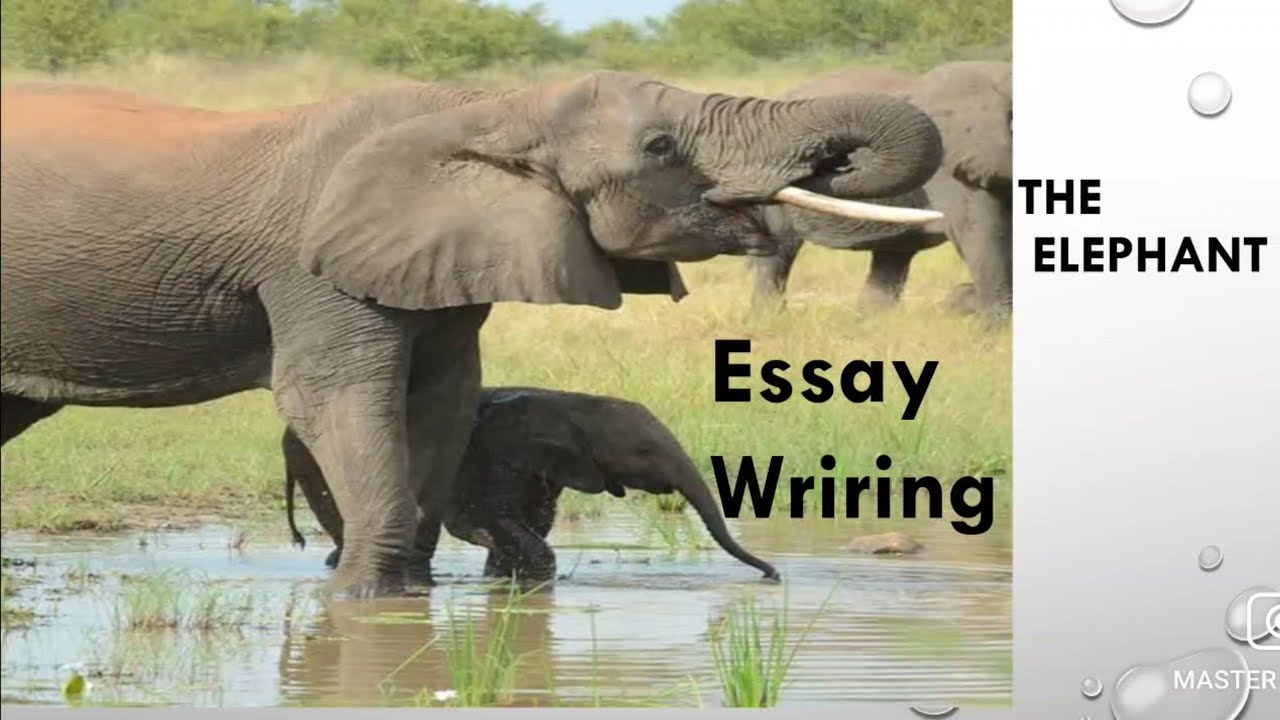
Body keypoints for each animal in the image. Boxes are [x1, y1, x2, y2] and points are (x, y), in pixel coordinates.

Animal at [283, 387, 781, 583]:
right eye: (642, 451)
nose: (774, 575)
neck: (576, 404)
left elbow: (533, 524)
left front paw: (504, 576)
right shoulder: (497, 457)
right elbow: (488, 517)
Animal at [750, 61, 1013, 315]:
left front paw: (962, 302)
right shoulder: (951, 159)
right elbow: (978, 229)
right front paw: (988, 320)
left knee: (893, 254)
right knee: (779, 249)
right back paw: (769, 317)